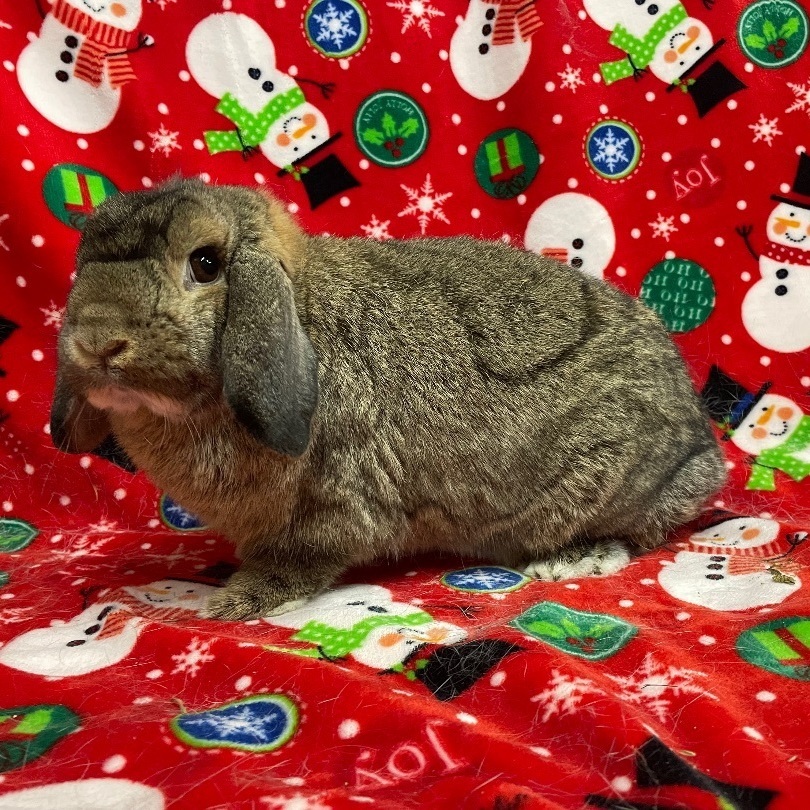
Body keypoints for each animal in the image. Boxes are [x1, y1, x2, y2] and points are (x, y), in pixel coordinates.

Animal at [50, 178, 727, 620]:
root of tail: (704, 451)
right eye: (83, 262)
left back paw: (571, 560)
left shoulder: (329, 509)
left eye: (207, 263)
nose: (96, 341)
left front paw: (231, 603)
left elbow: (297, 563)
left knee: (636, 532)